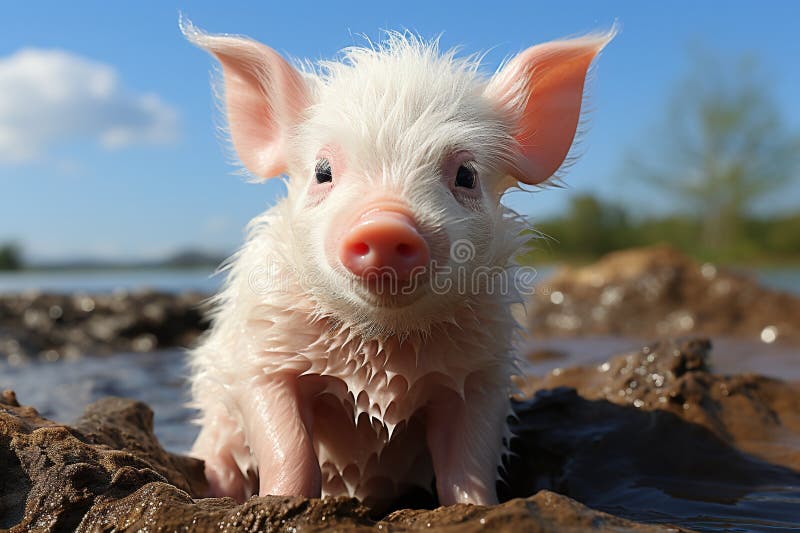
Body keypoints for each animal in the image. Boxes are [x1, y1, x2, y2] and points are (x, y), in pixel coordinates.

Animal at [182, 19, 612, 509]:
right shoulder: (262, 353)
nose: (385, 224)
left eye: (466, 175)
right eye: (323, 171)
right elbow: (286, 445)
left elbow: (468, 459)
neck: (383, 348)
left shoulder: (483, 371)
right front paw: (278, 502)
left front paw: (476, 509)